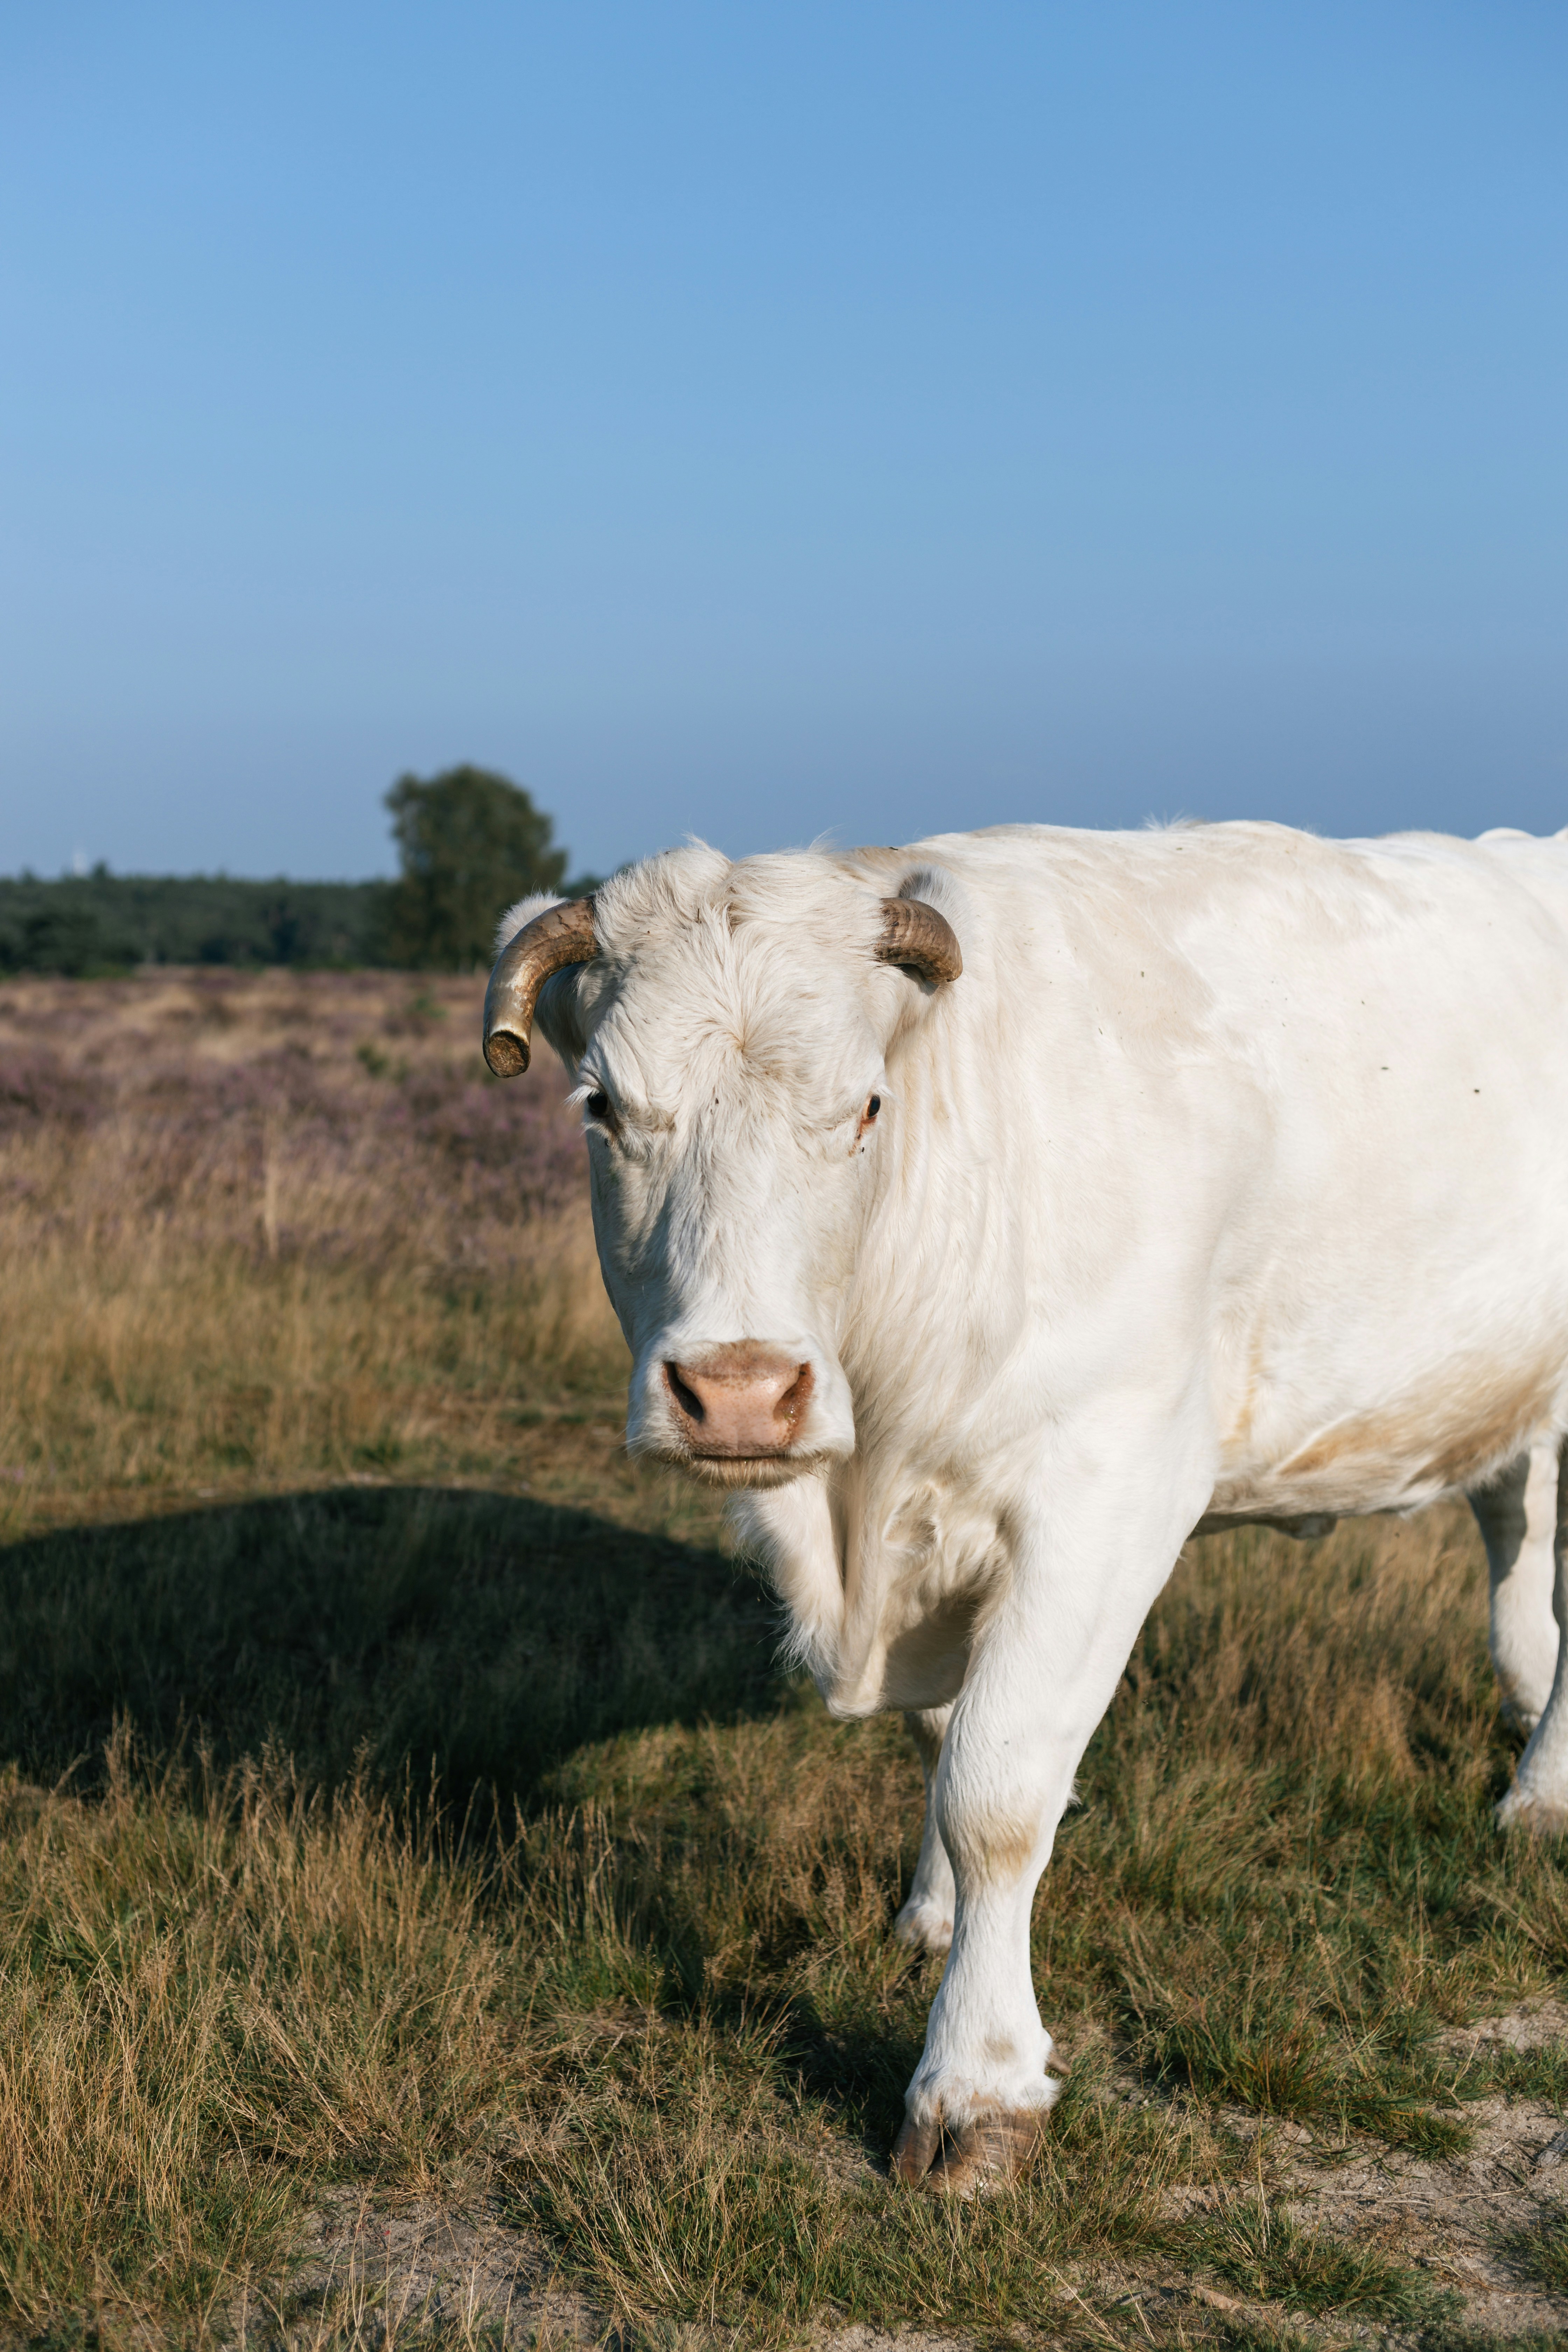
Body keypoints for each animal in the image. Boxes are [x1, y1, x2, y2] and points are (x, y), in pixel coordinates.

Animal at [482, 820, 1568, 2195]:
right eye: (603, 1107)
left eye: (866, 1108)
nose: (737, 1391)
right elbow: (940, 1740)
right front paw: (929, 1915)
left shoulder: (1104, 1492)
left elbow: (997, 1789)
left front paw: (976, 2084)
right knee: (1518, 1530)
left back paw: (1540, 1797)